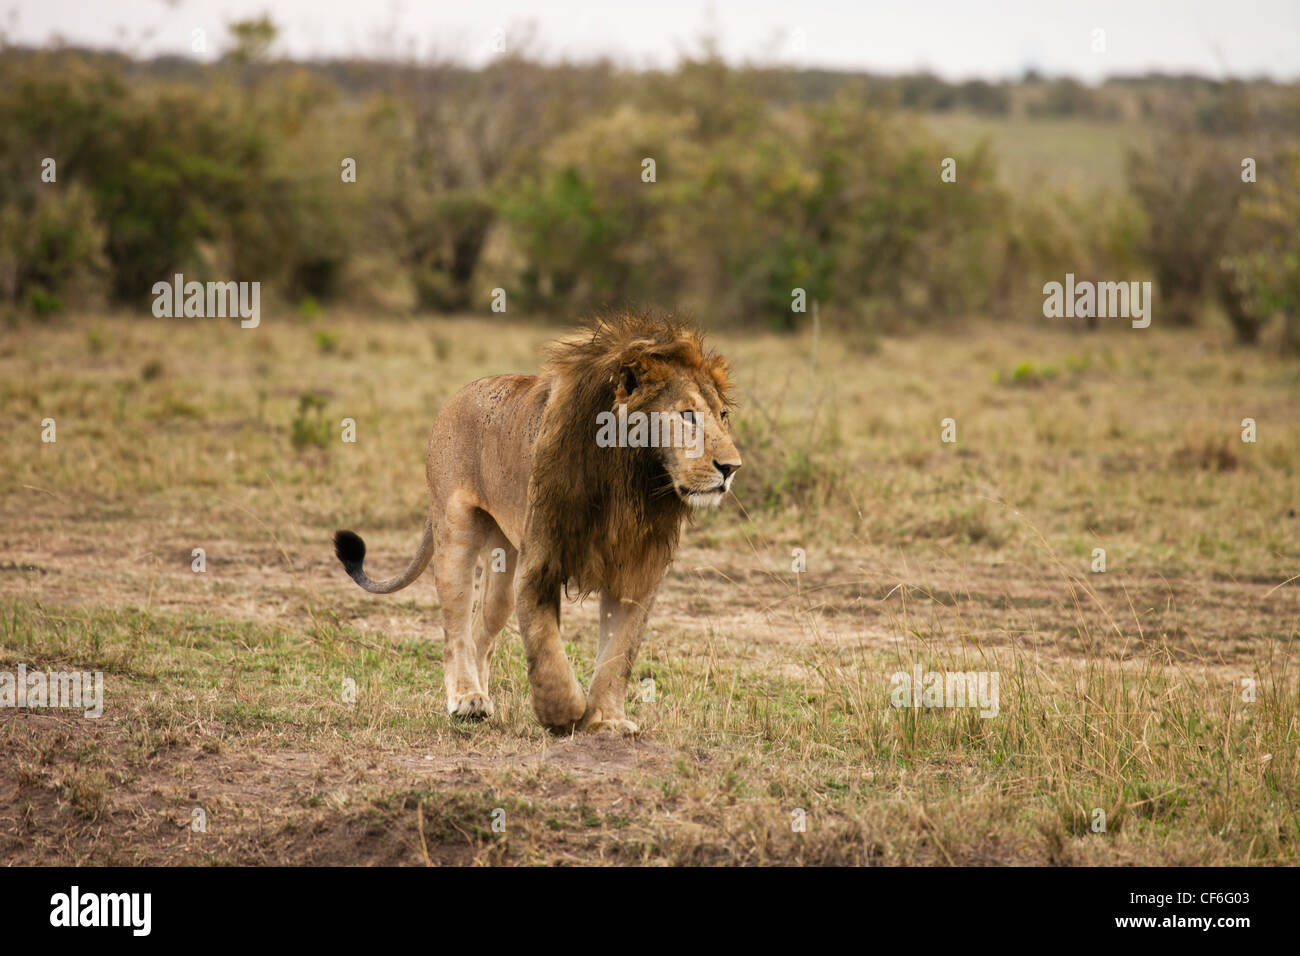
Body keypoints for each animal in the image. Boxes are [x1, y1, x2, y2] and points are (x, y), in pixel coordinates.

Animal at [333, 313, 741, 734]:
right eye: (687, 415)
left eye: (723, 416)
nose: (731, 468)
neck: (633, 484)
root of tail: (457, 395)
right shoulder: (541, 560)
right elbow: (545, 644)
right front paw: (564, 712)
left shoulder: (637, 573)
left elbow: (619, 653)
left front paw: (606, 720)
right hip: (455, 534)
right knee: (455, 630)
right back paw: (465, 698)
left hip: (502, 559)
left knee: (481, 631)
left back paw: (482, 699)